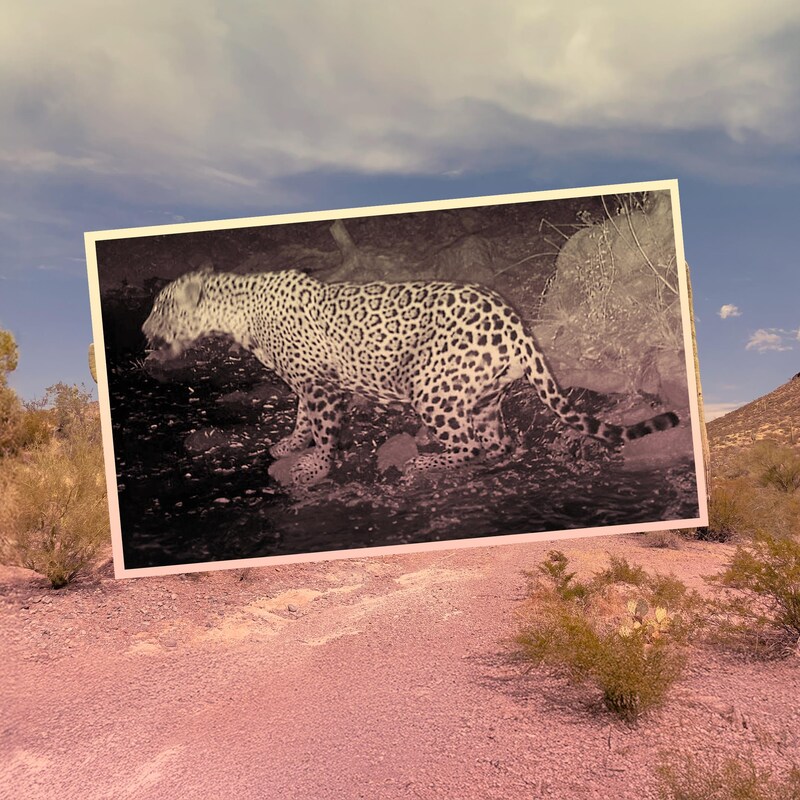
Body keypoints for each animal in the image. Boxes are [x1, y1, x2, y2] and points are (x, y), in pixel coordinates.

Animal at [142, 266, 680, 487]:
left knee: (468, 444)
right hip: (483, 399)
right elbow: (300, 419)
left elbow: (324, 430)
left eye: (161, 308)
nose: (143, 331)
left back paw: (424, 462)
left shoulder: (321, 385)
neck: (236, 314)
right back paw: (479, 462)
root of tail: (516, 324)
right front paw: (290, 445)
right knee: (501, 445)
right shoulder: (306, 384)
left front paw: (315, 466)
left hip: (432, 390)